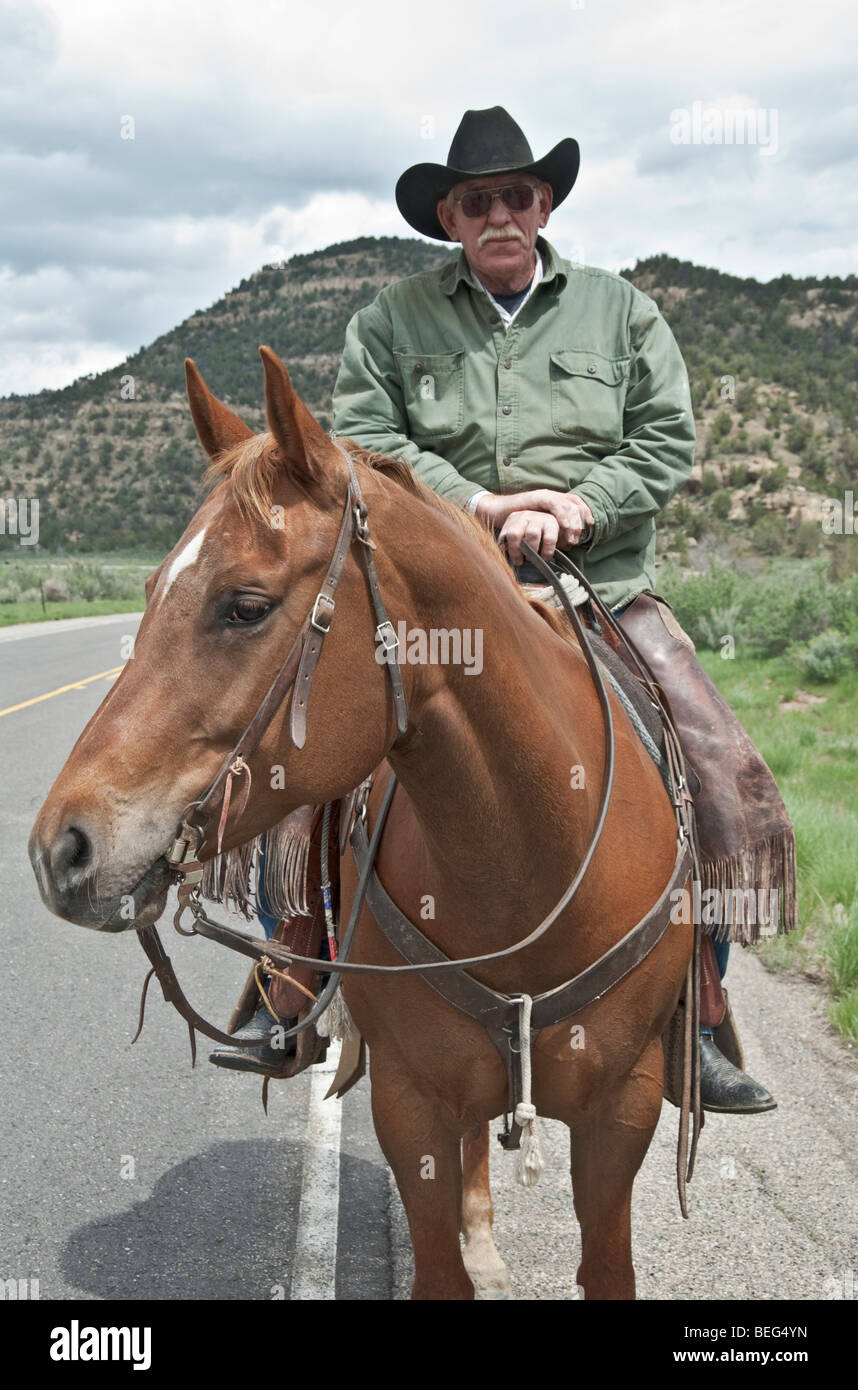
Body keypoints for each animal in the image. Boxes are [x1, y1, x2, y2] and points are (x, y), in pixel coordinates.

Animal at [29, 346, 693, 1300]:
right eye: (149, 589)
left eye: (245, 604)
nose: (62, 850)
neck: (536, 862)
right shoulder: (411, 1105)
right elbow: (439, 1258)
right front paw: (468, 1248)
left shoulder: (625, 1110)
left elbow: (608, 1265)